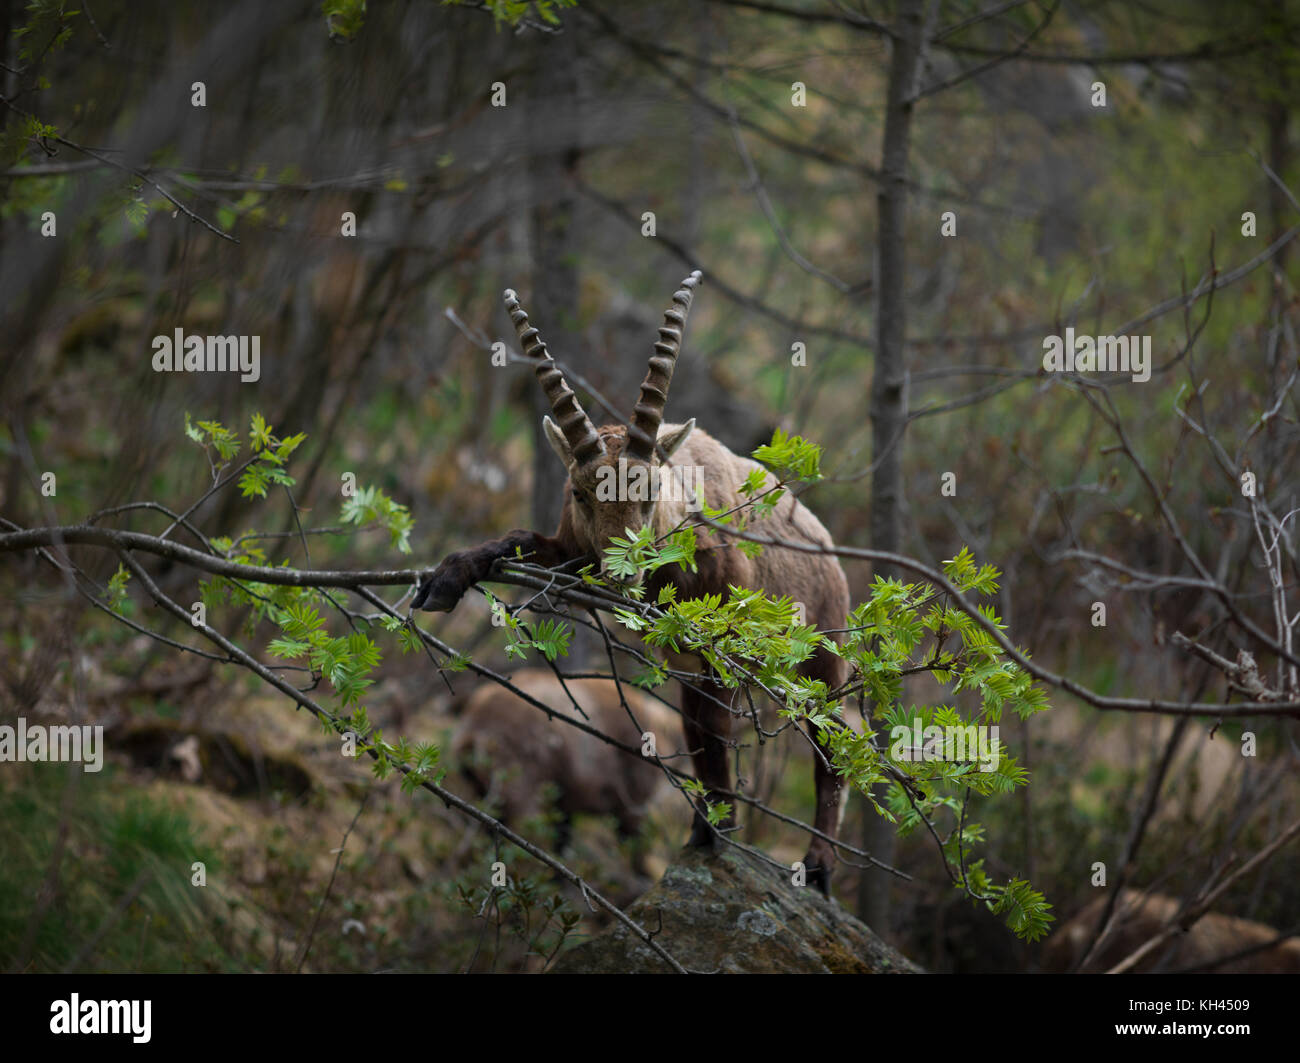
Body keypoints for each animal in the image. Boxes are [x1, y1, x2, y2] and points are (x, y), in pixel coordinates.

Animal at [450, 668, 684, 866]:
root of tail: (474, 731)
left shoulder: (567, 792)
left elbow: (564, 829)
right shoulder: (629, 788)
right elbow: (633, 833)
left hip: (484, 781)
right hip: (518, 767)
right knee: (524, 817)